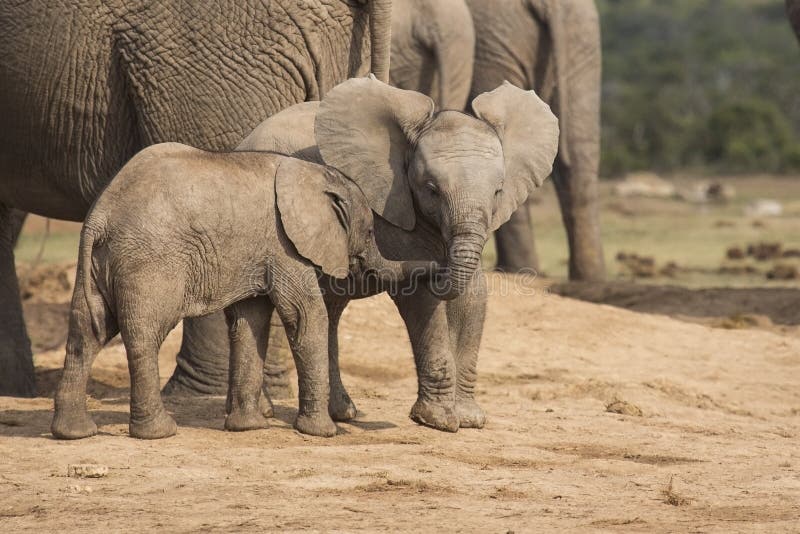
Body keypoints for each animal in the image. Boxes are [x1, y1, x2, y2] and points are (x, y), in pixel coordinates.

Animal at [51, 143, 436, 440]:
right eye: (370, 232)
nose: (438, 266)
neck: (313, 173)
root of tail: (100, 215)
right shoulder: (284, 245)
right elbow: (305, 317)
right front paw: (324, 433)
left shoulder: (259, 252)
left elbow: (250, 321)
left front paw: (247, 428)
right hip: (150, 262)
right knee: (144, 334)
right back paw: (160, 432)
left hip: (100, 263)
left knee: (86, 333)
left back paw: (74, 433)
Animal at [232, 75, 560, 431]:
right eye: (431, 189)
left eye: (499, 191)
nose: (439, 267)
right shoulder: (394, 207)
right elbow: (420, 299)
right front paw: (438, 420)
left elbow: (473, 297)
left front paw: (469, 419)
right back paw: (269, 412)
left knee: (330, 309)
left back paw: (343, 412)